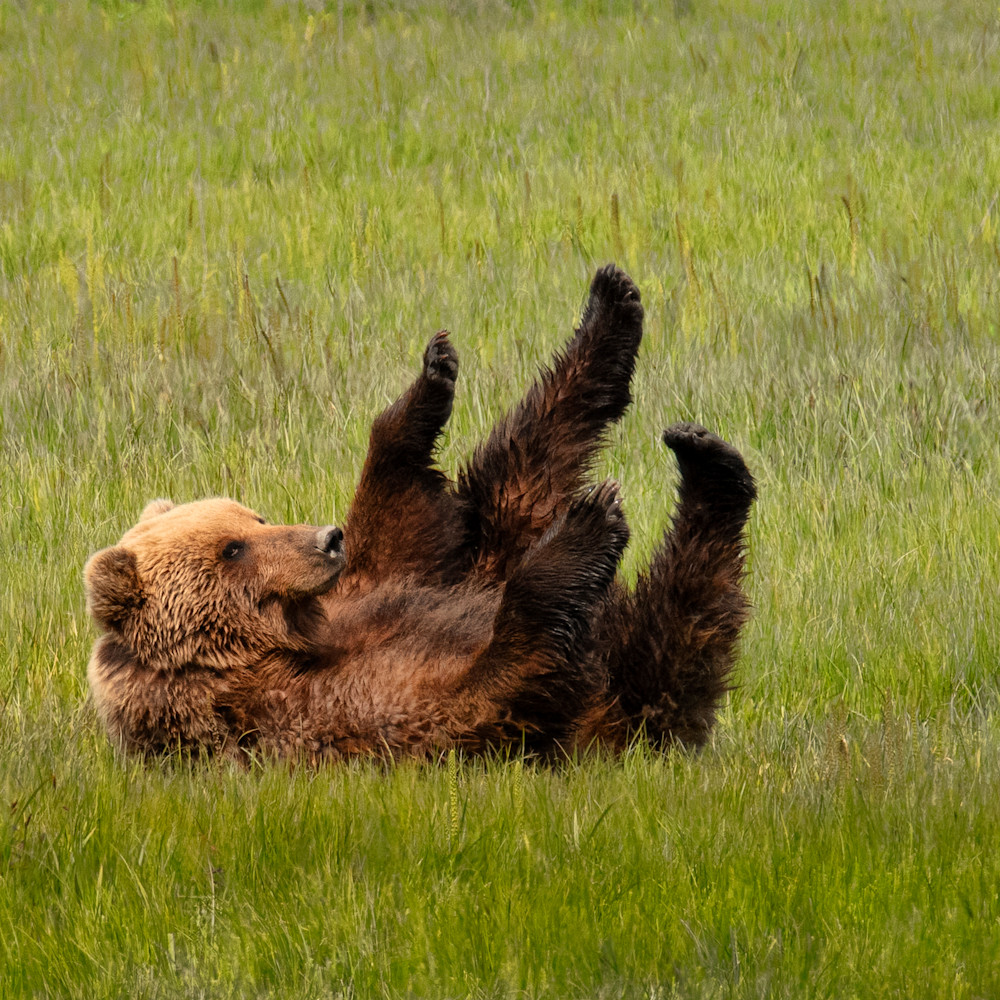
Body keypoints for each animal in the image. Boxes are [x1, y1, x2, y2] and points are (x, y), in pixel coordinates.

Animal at [84, 266, 757, 762]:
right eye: (232, 549)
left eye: (255, 518)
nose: (328, 539)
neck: (278, 645)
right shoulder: (301, 715)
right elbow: (486, 690)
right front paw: (589, 523)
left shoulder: (381, 580)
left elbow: (406, 512)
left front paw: (432, 376)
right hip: (634, 705)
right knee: (683, 616)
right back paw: (632, 504)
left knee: (521, 475)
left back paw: (637, 347)